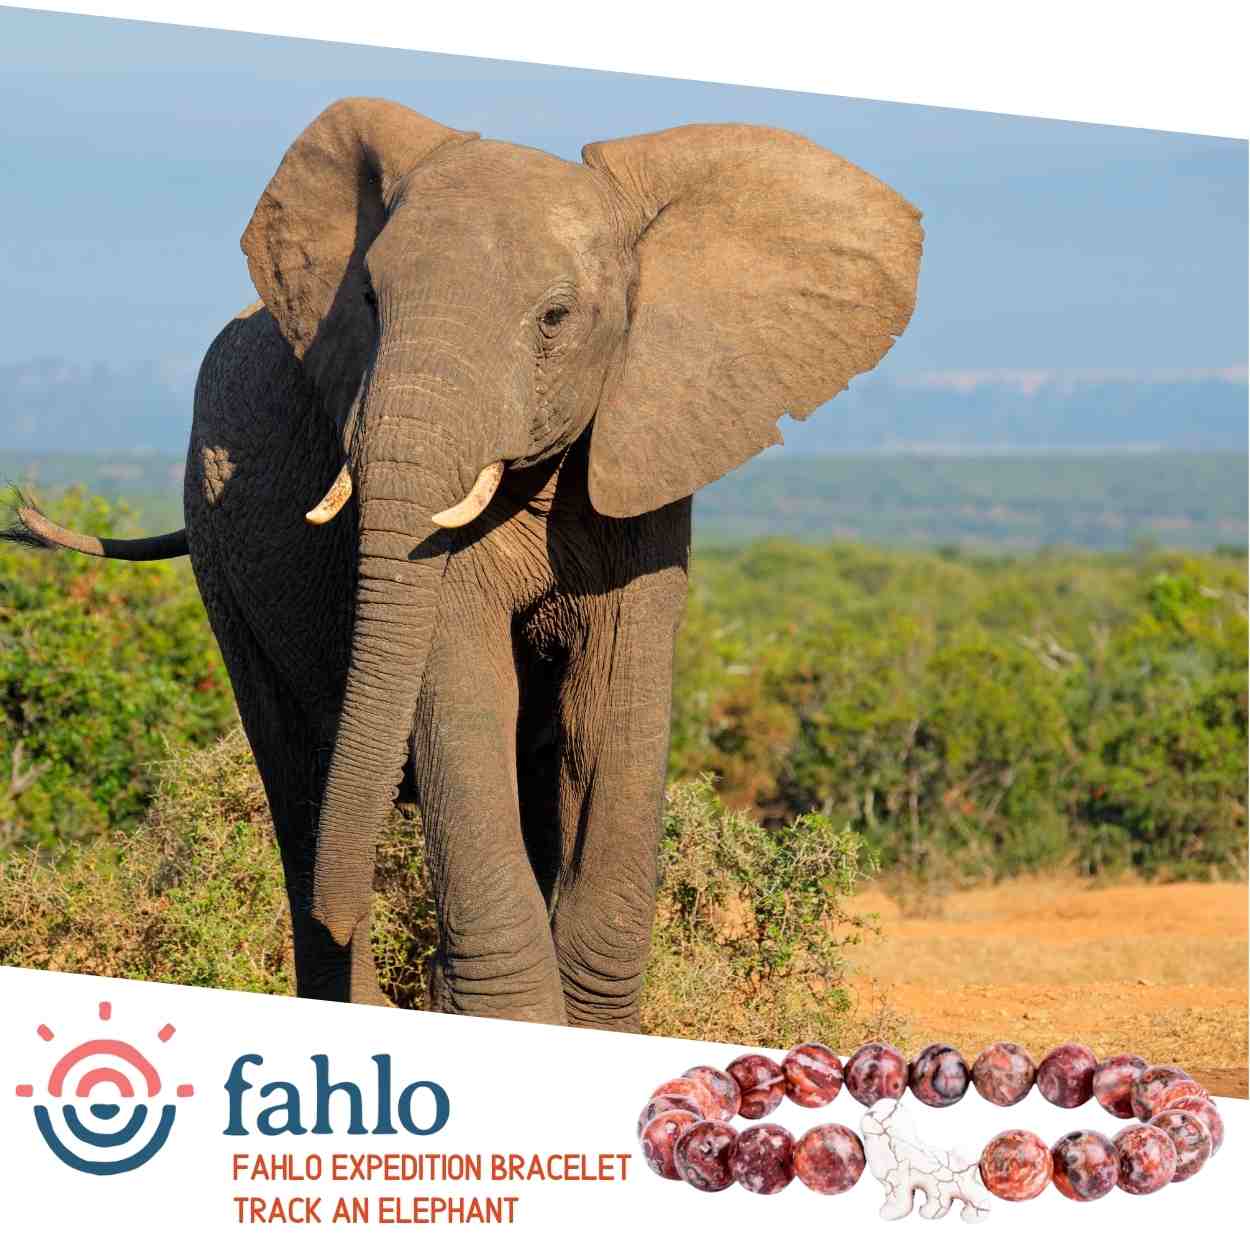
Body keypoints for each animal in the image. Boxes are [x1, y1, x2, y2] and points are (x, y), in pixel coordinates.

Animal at [7, 98, 922, 1029]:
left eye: (556, 318)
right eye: (369, 300)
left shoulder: (650, 460)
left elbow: (611, 715)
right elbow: (463, 695)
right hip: (218, 544)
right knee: (297, 776)